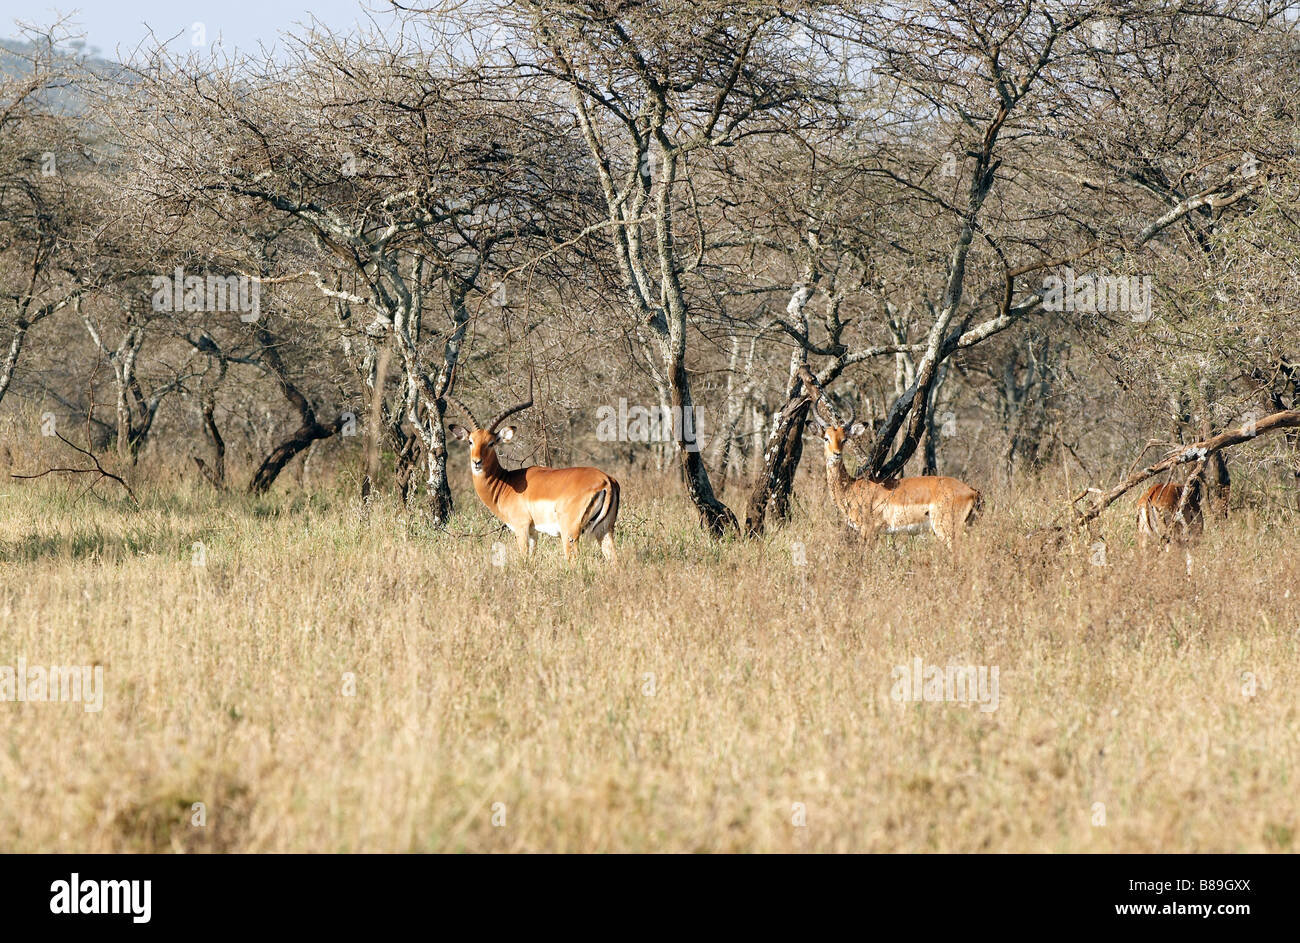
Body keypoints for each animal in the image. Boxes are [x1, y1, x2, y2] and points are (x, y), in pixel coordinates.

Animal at [447, 386, 620, 563]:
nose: (477, 462)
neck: (505, 484)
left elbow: (523, 559)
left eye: (491, 443)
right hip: (605, 531)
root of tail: (606, 480)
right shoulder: (533, 532)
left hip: (570, 534)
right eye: (470, 441)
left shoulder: (521, 528)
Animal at [808, 397, 981, 549]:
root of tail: (973, 492)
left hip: (947, 531)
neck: (851, 488)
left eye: (844, 439)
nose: (836, 454)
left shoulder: (868, 530)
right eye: (826, 438)